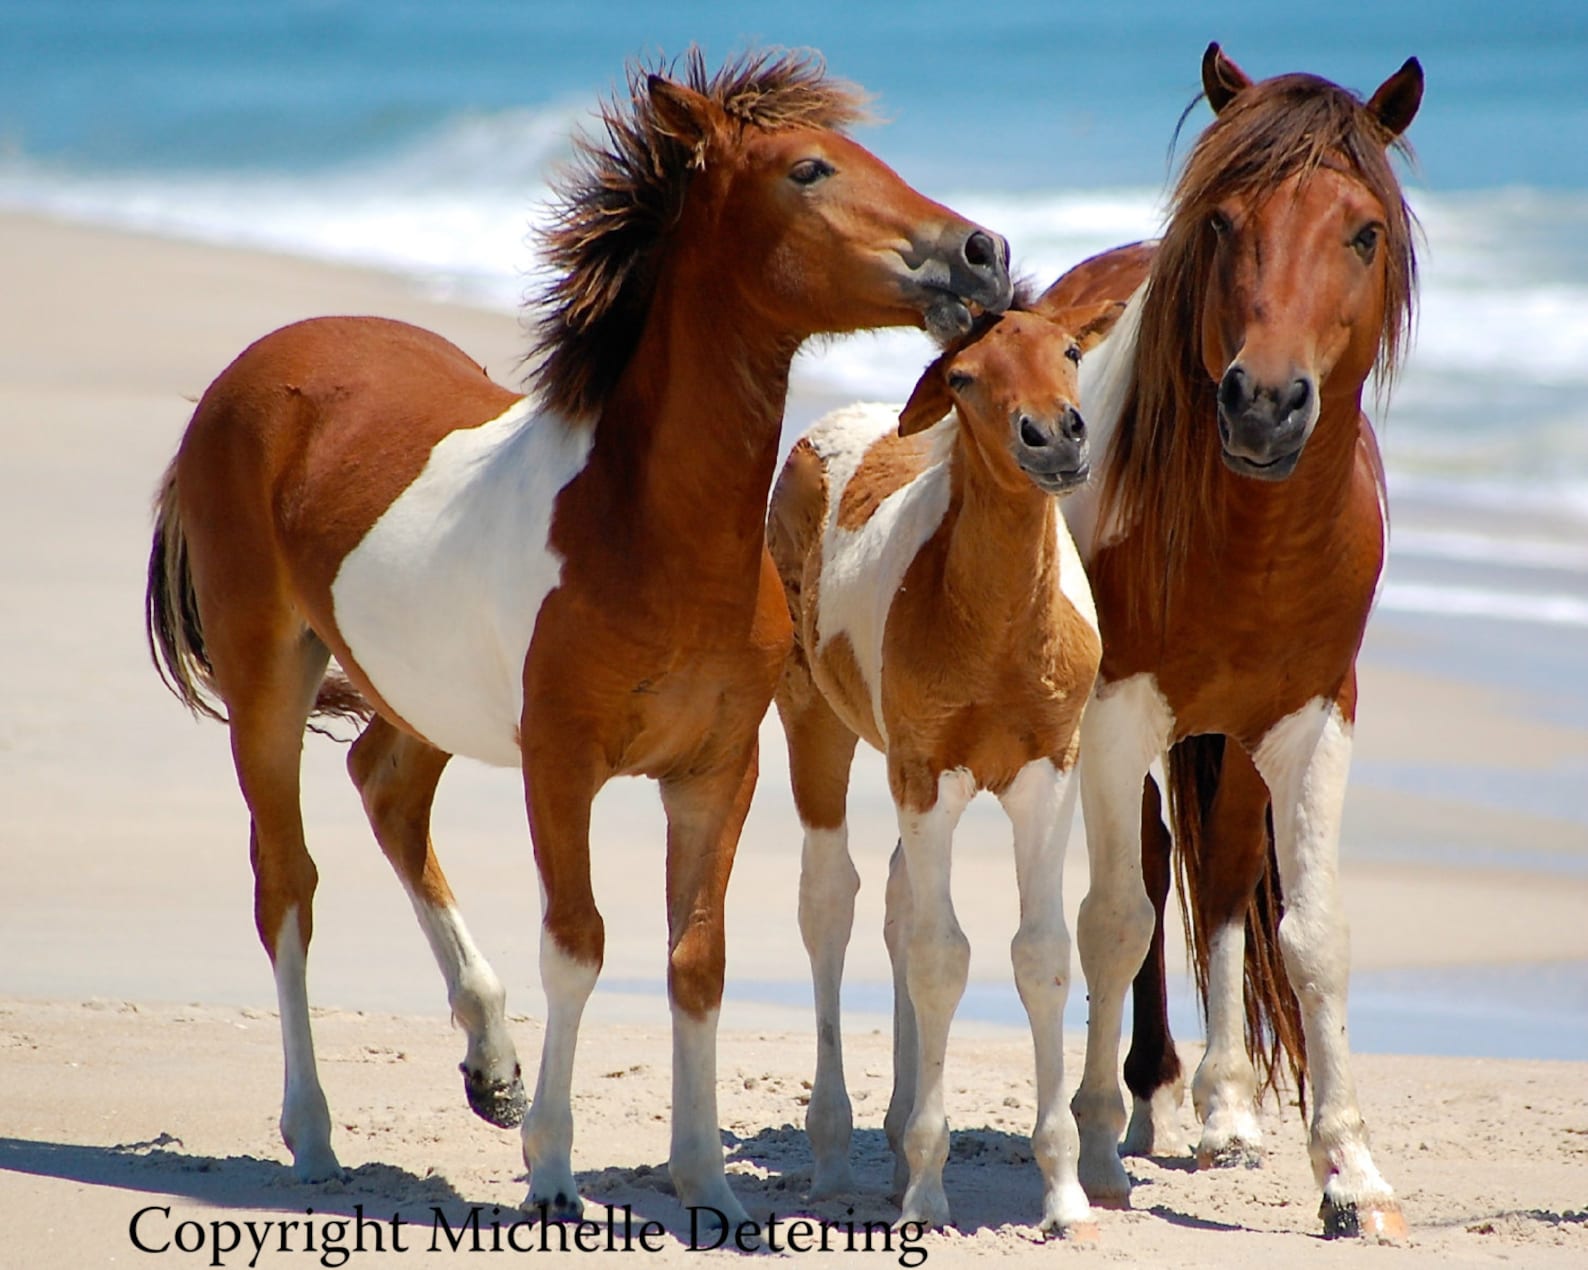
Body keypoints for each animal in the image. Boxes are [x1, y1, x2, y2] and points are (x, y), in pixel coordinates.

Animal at [144, 49, 1012, 1227]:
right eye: (809, 169)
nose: (984, 253)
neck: (644, 530)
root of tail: (246, 373)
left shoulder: (715, 770)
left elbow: (697, 956)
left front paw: (706, 1185)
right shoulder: (559, 765)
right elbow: (579, 944)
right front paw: (552, 1172)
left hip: (419, 696)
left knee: (385, 788)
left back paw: (491, 1066)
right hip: (267, 681)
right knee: (287, 885)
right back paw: (315, 1135)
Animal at [767, 297, 1122, 1234]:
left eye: (1071, 352)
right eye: (963, 377)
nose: (1055, 437)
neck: (998, 625)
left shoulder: (1048, 776)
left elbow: (1040, 953)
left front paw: (1064, 1192)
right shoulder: (928, 776)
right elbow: (939, 955)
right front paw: (927, 1191)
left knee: (893, 898)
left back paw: (891, 1142)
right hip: (815, 719)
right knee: (831, 901)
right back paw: (836, 1154)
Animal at [1043, 45, 1422, 1240]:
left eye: (1362, 232)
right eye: (1223, 222)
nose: (1262, 403)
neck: (1249, 538)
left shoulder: (1312, 717)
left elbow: (1311, 933)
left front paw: (1350, 1171)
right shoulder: (1119, 710)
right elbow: (1115, 917)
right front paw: (1094, 1147)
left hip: (1234, 738)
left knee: (1213, 872)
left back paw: (1223, 1105)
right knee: (1148, 872)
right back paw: (1144, 1095)